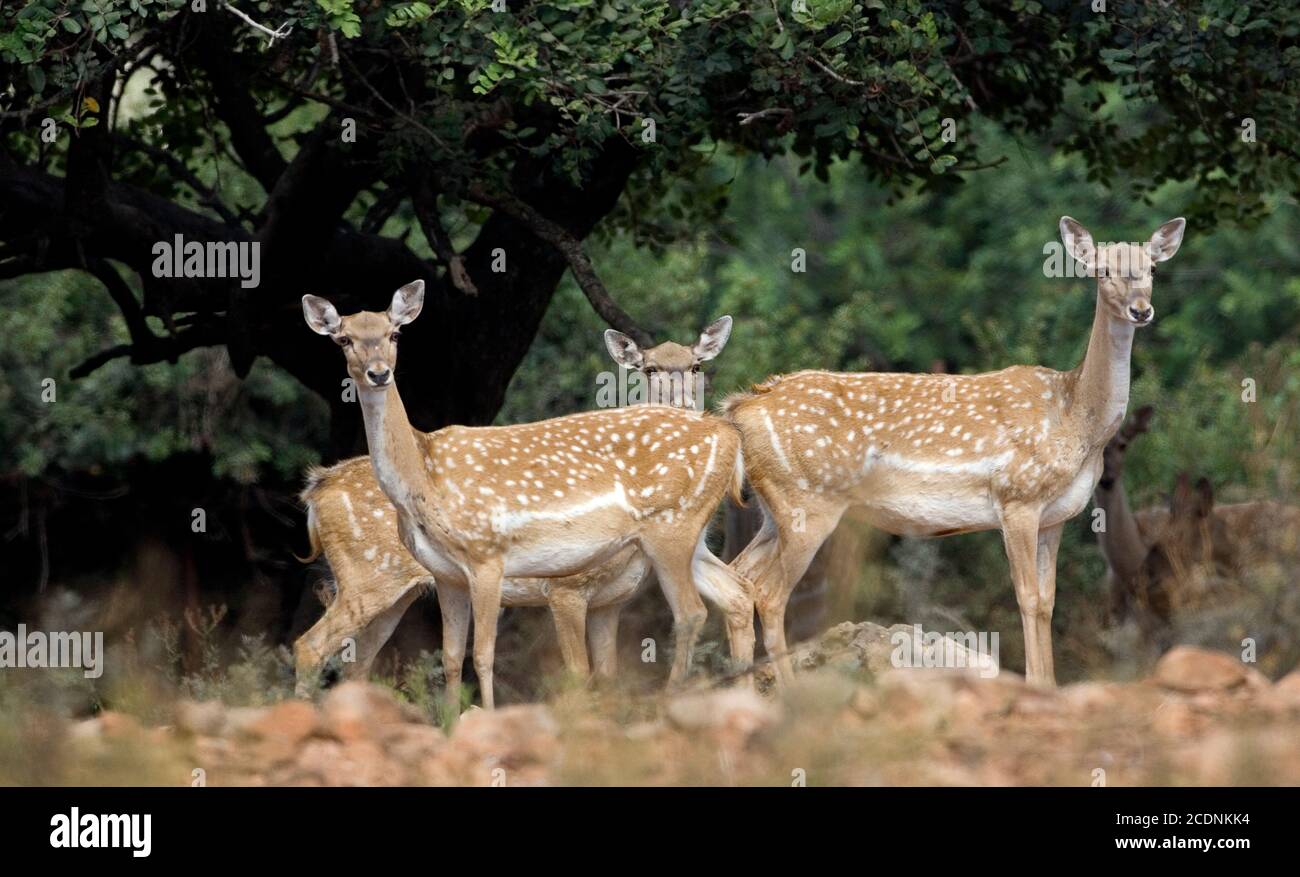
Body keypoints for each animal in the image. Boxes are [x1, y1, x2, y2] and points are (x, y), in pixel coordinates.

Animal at [301, 281, 754, 708]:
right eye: (343, 339)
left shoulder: (499, 563)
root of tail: (315, 490)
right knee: (322, 649)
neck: (422, 475)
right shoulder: (490, 578)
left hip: (673, 528)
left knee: (702, 608)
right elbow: (461, 657)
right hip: (371, 577)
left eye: (394, 333)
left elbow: (491, 657)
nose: (378, 373)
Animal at [724, 216, 1187, 687]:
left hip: (775, 508)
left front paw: (1049, 684)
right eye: (1102, 270)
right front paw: (1037, 684)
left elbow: (1047, 601)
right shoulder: (1016, 497)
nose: (1141, 309)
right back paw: (786, 689)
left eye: (1152, 267)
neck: (1076, 418)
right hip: (808, 502)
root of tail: (741, 409)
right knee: (769, 592)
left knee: (740, 577)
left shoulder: (1054, 517)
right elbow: (1027, 597)